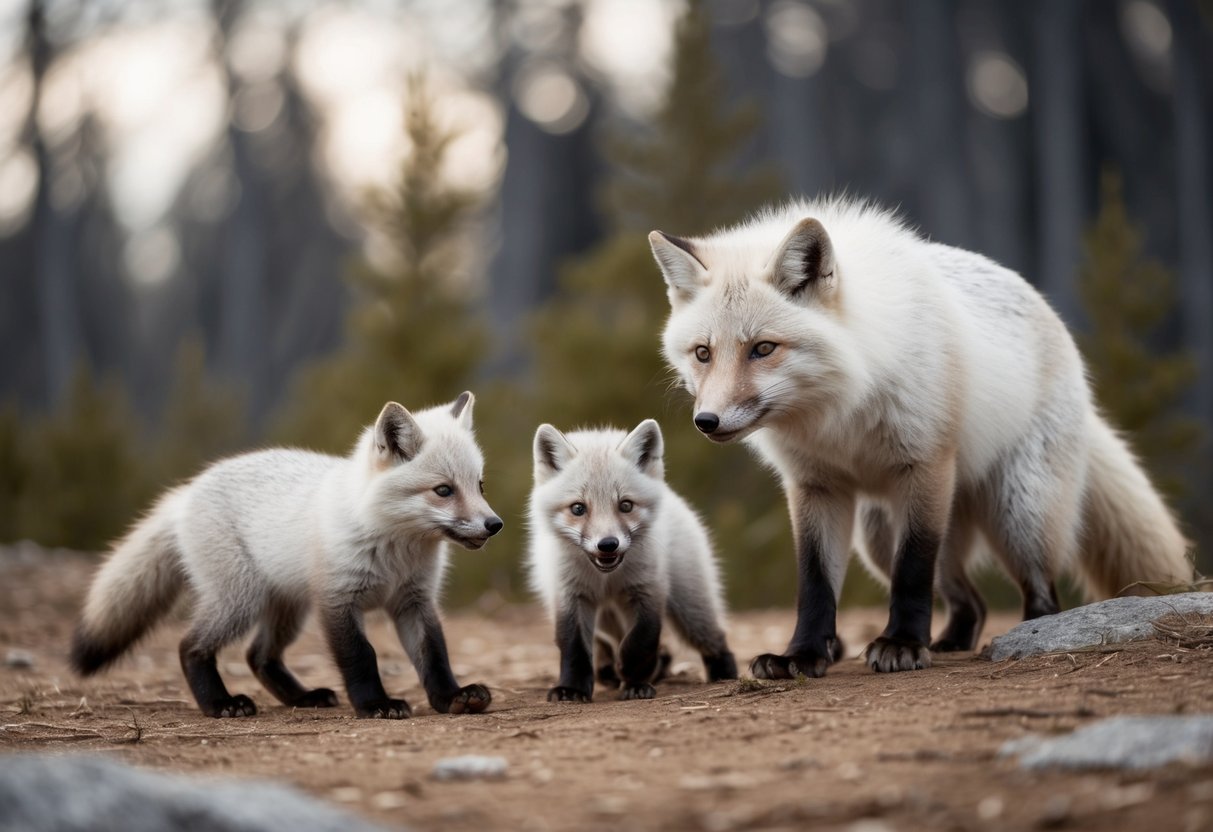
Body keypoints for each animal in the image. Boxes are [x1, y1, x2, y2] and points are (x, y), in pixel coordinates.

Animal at [70, 392, 503, 719]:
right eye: (443, 490)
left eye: (479, 485)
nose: (494, 524)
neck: (396, 551)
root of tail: (186, 491)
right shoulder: (338, 600)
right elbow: (361, 657)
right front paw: (374, 704)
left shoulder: (414, 601)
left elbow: (434, 655)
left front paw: (450, 697)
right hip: (241, 601)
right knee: (190, 646)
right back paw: (220, 703)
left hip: (288, 609)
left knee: (258, 656)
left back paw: (303, 698)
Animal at [527, 419, 738, 702]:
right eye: (578, 509)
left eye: (625, 505)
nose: (607, 544)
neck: (606, 579)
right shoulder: (569, 595)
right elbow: (574, 648)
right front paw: (571, 689)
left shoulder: (648, 590)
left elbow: (641, 641)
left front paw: (634, 678)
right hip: (606, 618)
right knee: (607, 643)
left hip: (690, 610)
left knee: (715, 640)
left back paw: (723, 675)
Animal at [649, 197, 1192, 679]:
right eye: (702, 353)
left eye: (763, 348)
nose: (708, 421)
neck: (839, 413)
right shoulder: (816, 486)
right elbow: (815, 583)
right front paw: (802, 656)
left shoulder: (927, 465)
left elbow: (913, 573)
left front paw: (903, 645)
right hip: (879, 534)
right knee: (969, 601)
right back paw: (951, 641)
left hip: (1018, 512)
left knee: (1039, 589)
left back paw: (1030, 632)